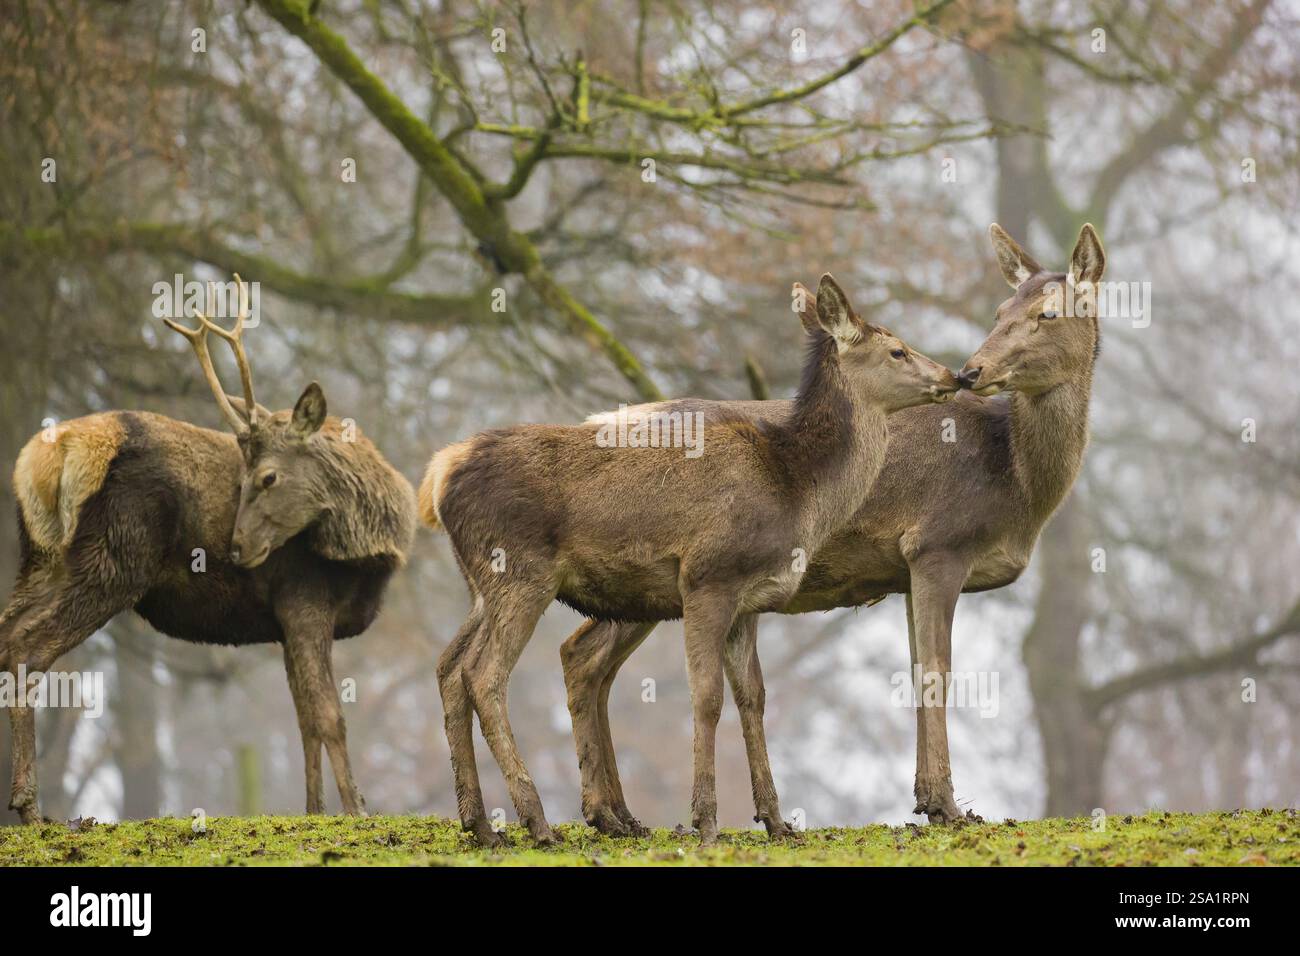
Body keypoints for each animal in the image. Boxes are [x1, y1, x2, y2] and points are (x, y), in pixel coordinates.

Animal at [0, 277, 416, 823]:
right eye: (246, 478)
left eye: (266, 477)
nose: (237, 548)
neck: (369, 546)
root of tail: (45, 457)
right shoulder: (303, 595)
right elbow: (328, 715)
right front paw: (356, 812)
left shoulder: (283, 618)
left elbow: (304, 718)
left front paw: (313, 811)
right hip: (114, 558)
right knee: (27, 648)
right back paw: (29, 806)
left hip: (39, 556)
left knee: (6, 633)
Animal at [420, 274, 959, 845]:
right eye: (898, 349)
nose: (956, 374)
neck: (796, 491)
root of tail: (437, 477)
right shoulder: (708, 577)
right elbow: (706, 697)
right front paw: (706, 821)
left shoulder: (749, 602)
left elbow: (753, 697)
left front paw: (777, 821)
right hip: (521, 572)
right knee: (484, 675)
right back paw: (537, 821)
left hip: (482, 583)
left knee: (449, 667)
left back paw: (481, 824)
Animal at [559, 223, 1106, 837]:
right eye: (999, 311)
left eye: (1047, 313)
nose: (971, 371)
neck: (1016, 483)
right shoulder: (938, 542)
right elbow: (937, 671)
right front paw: (947, 804)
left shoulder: (905, 569)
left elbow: (916, 668)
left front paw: (924, 798)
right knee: (584, 655)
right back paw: (611, 811)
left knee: (583, 657)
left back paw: (614, 813)